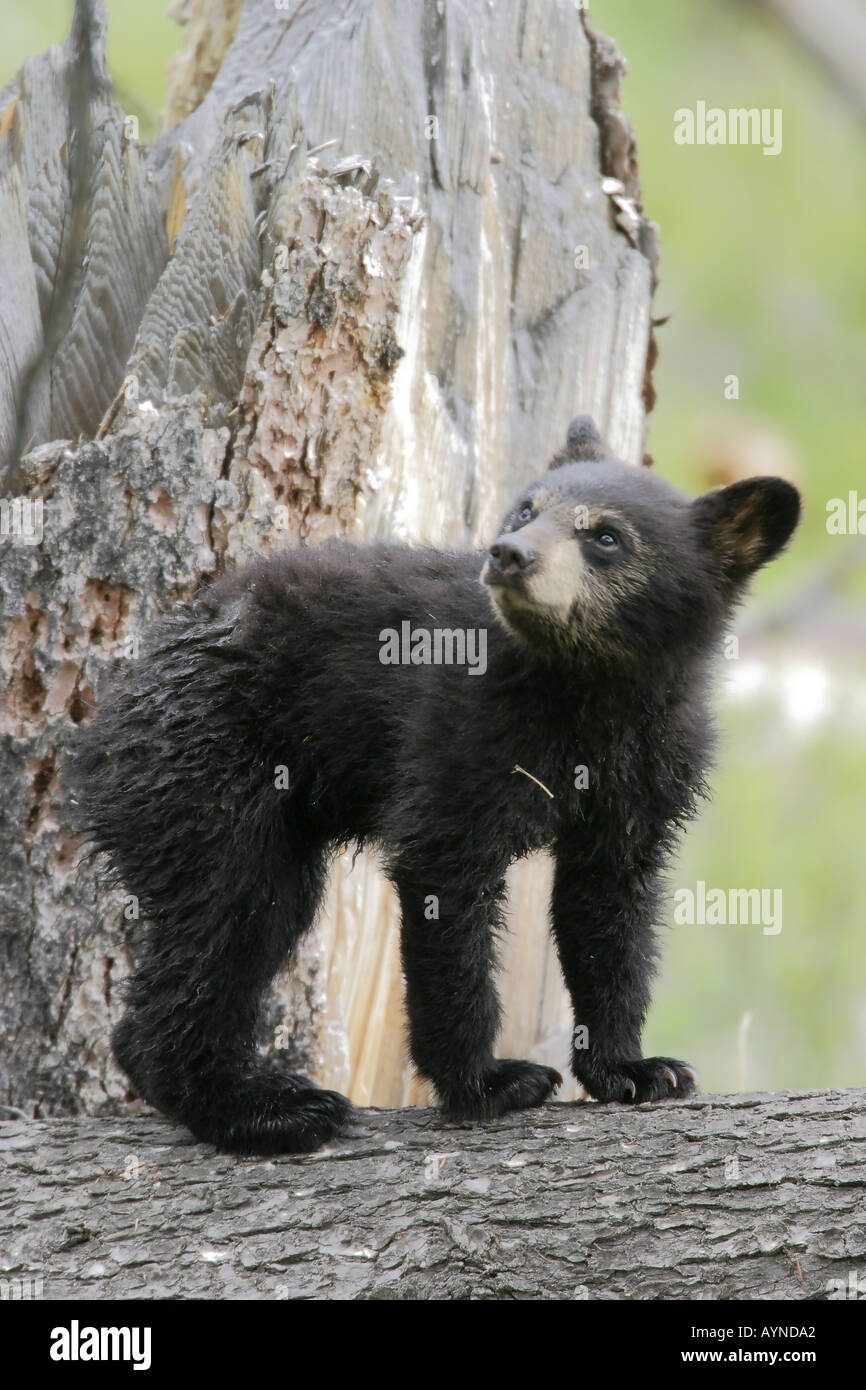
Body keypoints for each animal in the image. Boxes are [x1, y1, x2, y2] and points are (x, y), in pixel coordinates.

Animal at [66, 416, 801, 1155]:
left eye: (606, 537)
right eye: (525, 509)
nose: (509, 554)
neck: (586, 691)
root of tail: (104, 721)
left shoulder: (646, 773)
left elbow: (609, 911)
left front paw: (634, 1068)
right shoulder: (459, 729)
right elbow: (445, 883)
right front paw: (488, 1081)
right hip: (206, 769)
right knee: (225, 913)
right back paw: (265, 1108)